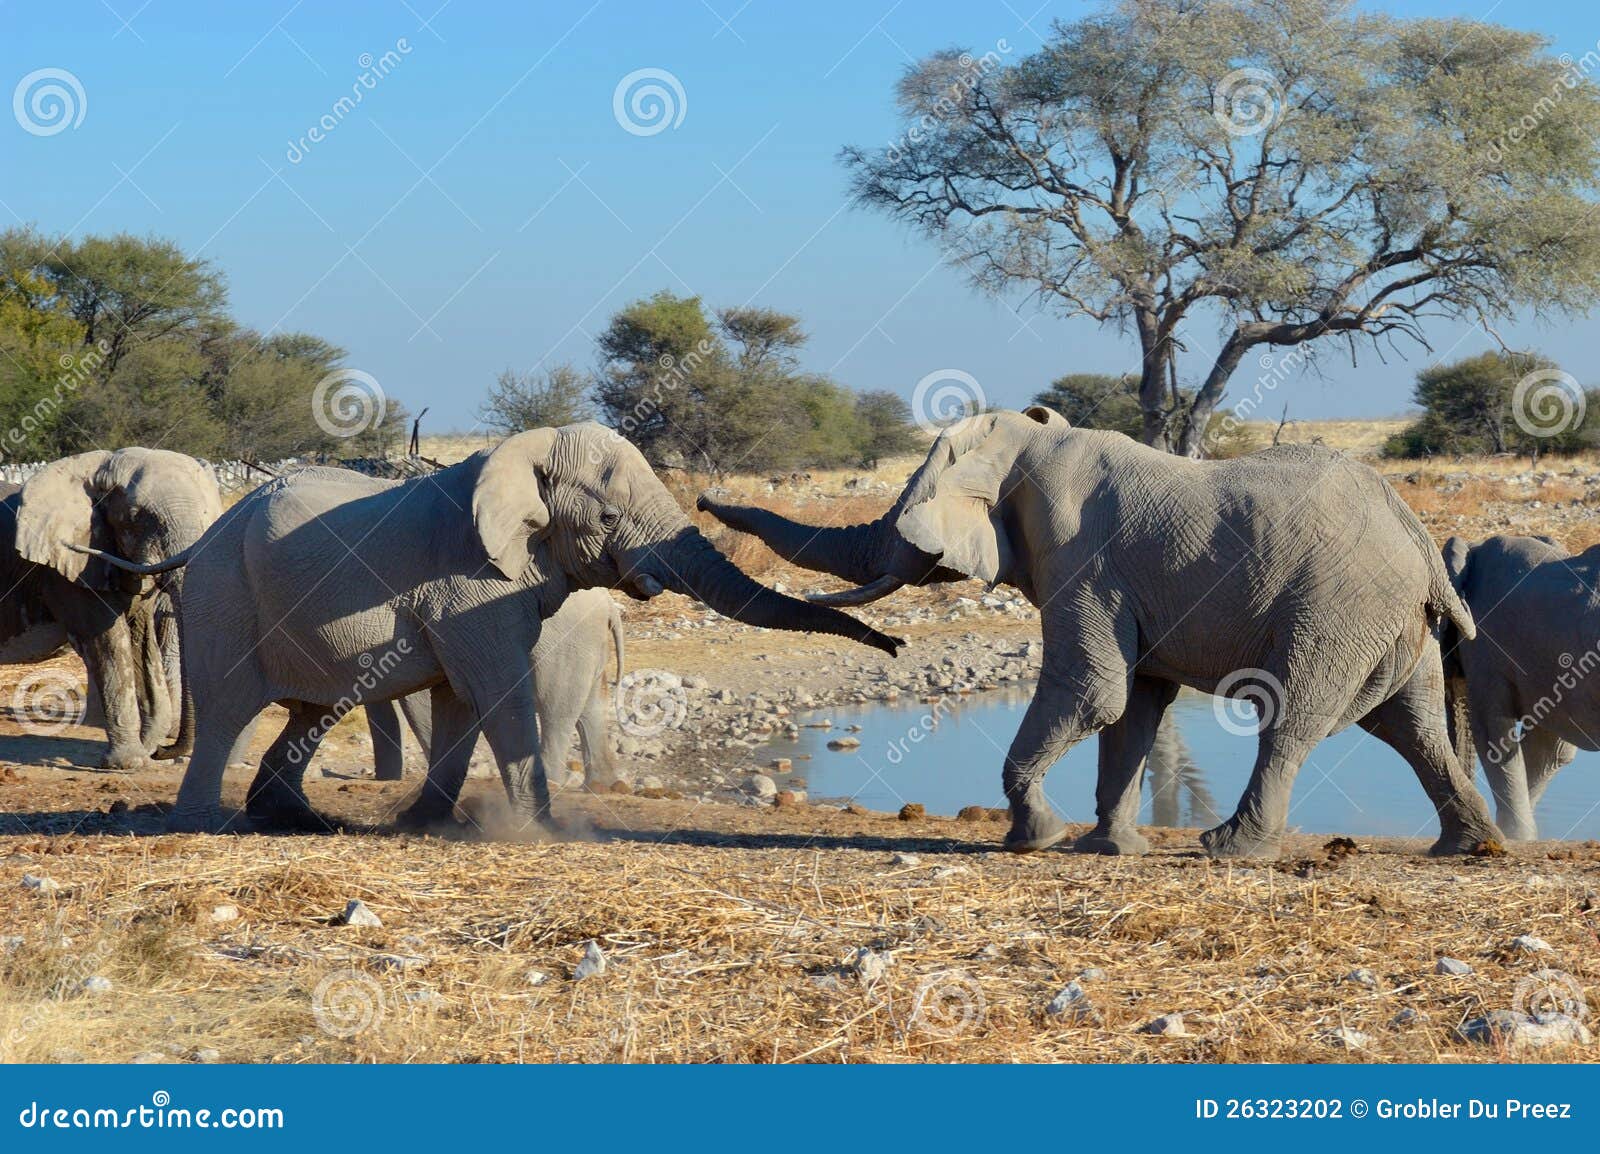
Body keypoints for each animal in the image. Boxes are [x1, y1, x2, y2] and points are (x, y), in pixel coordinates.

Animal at [0, 448, 221, 770]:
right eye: (134, 518)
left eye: (208, 515)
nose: (163, 750)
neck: (97, 466)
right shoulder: (68, 572)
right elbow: (109, 643)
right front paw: (130, 764)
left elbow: (142, 645)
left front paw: (146, 751)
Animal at [364, 586, 624, 821]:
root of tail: (609, 606)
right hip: (587, 648)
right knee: (592, 706)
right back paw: (605, 785)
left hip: (565, 647)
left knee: (556, 708)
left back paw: (554, 779)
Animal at [698, 406, 1501, 858]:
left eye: (907, 520)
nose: (703, 498)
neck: (1030, 442)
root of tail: (1420, 540)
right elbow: (1134, 708)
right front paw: (1109, 848)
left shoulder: (1079, 556)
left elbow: (1094, 692)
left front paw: (1036, 841)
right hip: (1386, 622)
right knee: (1412, 725)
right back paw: (1469, 848)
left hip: (1336, 608)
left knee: (1292, 720)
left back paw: (1230, 850)